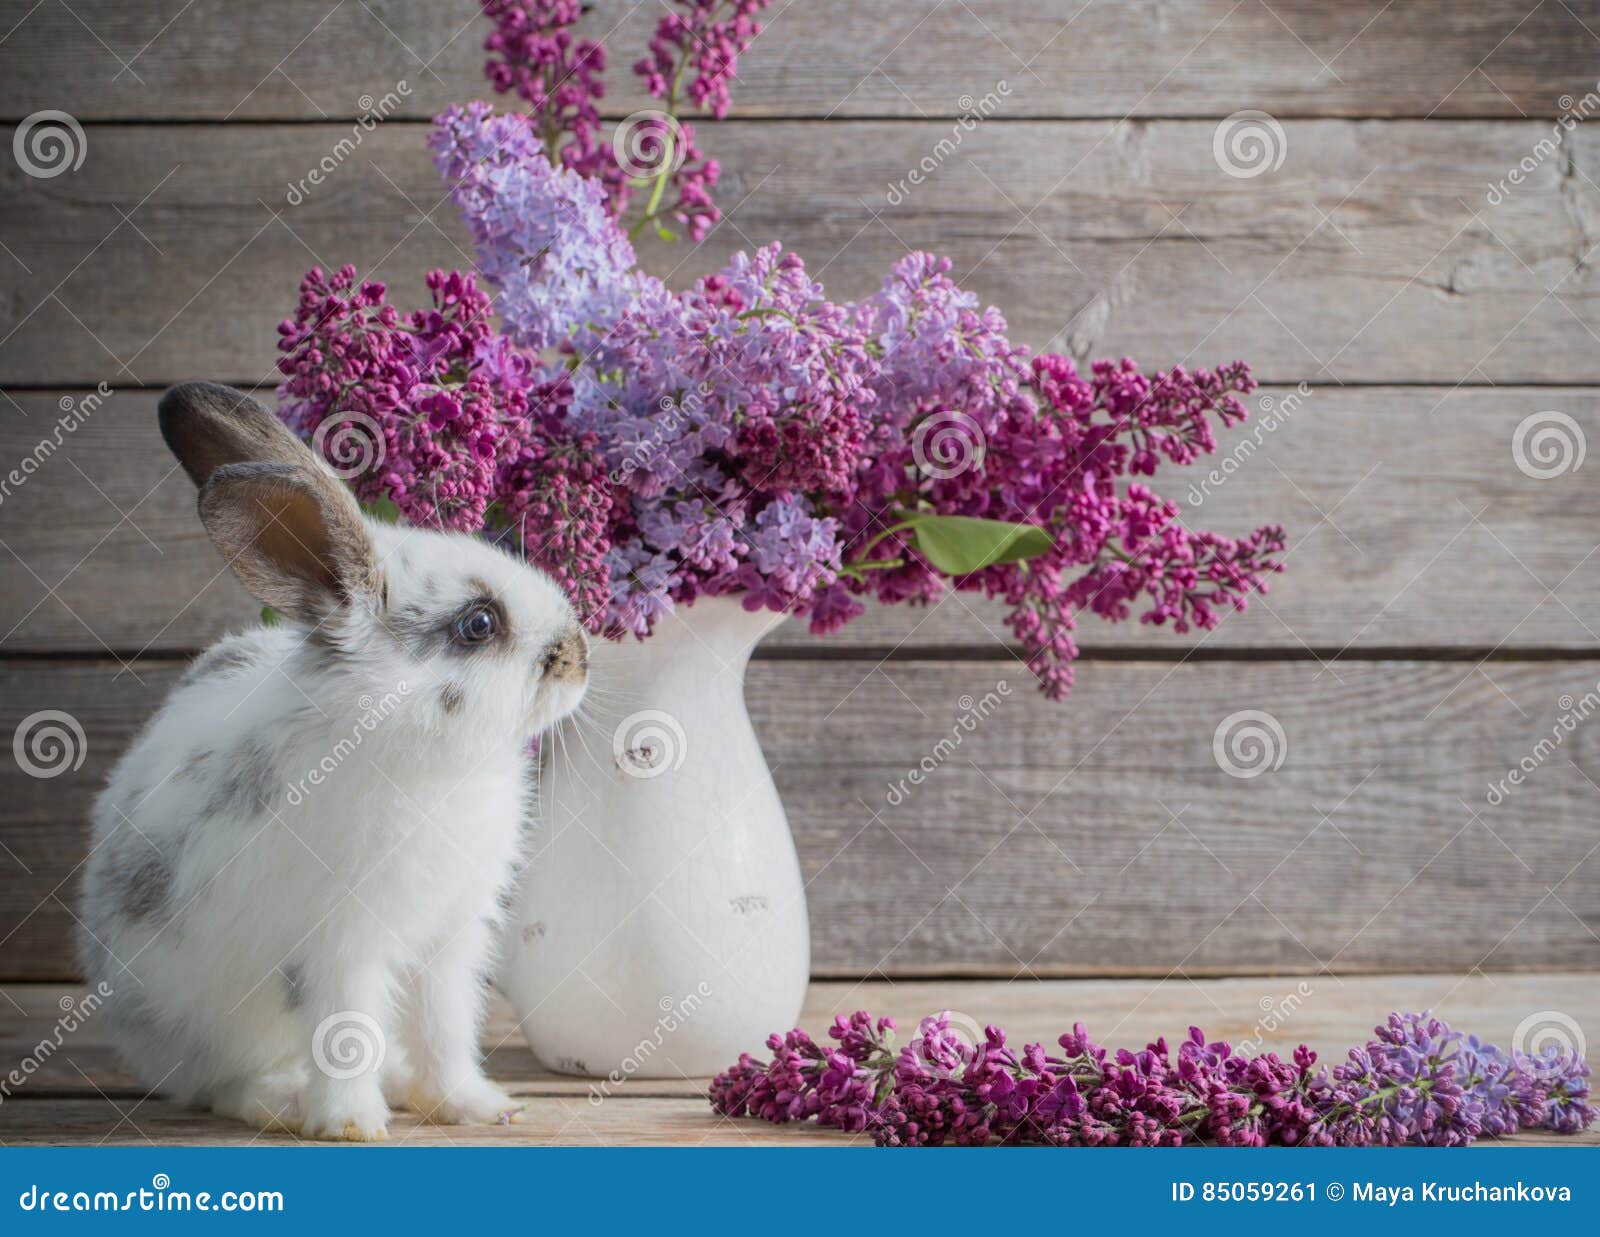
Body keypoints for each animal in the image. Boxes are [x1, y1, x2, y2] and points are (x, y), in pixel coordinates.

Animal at [78, 382, 589, 1141]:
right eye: (478, 624)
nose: (580, 654)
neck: (430, 763)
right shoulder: (341, 947)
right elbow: (346, 1035)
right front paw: (352, 1125)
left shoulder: (450, 940)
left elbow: (445, 1030)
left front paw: (477, 1106)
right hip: (210, 1029)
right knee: (223, 1084)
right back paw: (284, 1101)